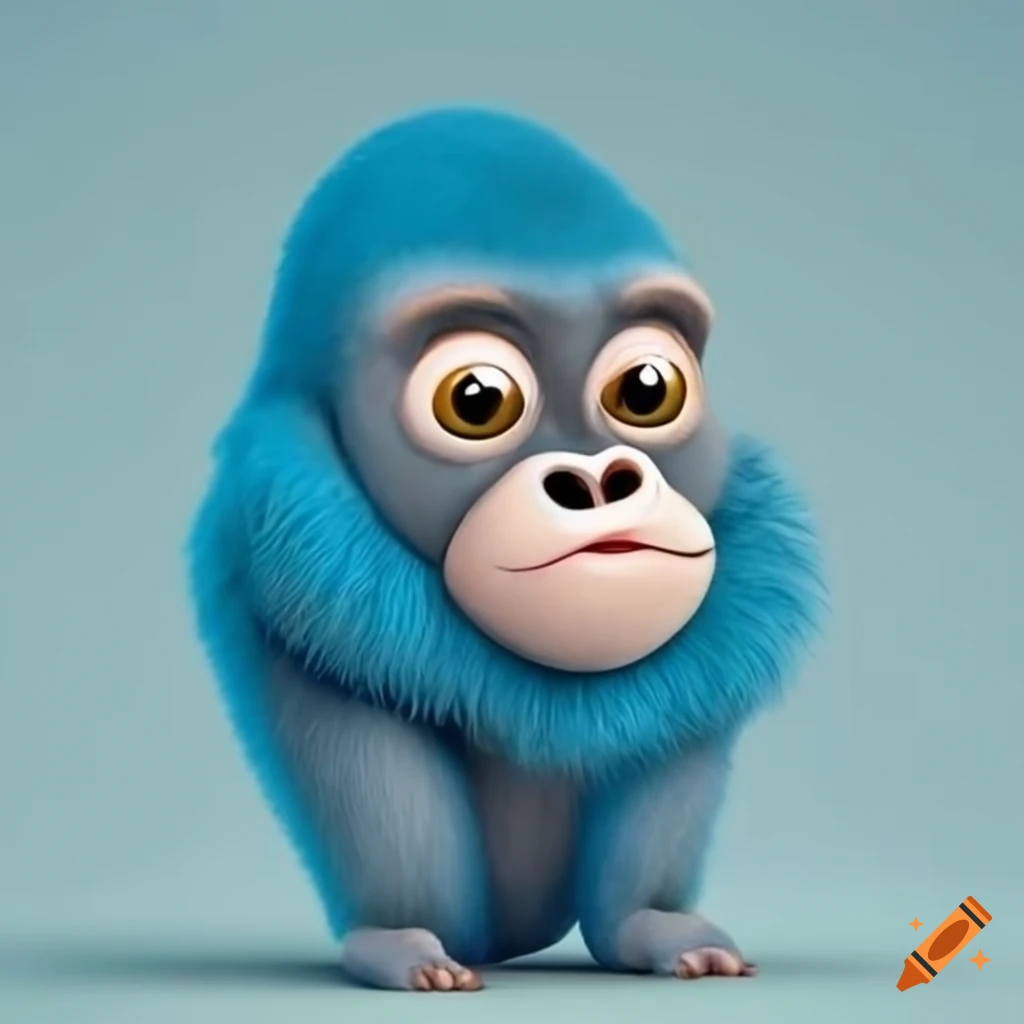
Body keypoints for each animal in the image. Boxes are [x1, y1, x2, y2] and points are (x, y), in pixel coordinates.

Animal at [187, 106, 826, 992]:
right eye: (477, 399)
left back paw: (653, 926)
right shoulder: (280, 536)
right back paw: (399, 942)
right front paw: (404, 939)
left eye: (647, 388)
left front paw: (657, 923)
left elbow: (680, 720)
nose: (598, 480)